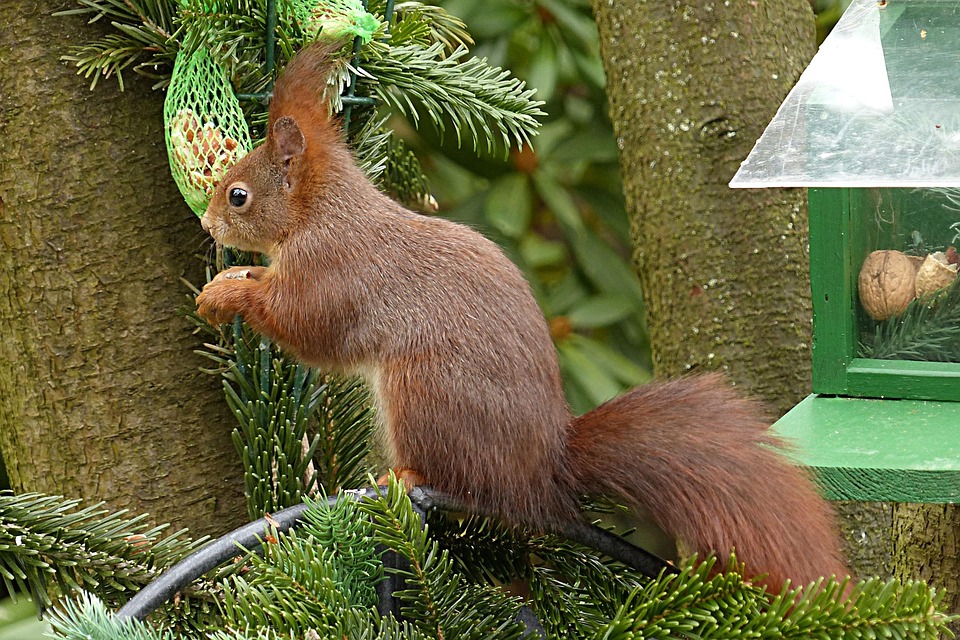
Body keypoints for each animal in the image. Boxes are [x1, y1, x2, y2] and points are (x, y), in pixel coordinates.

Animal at [196, 43, 848, 591]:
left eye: (238, 195)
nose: (207, 223)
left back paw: (402, 479)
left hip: (424, 392)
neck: (318, 211)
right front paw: (228, 282)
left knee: (453, 477)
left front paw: (228, 296)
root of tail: (542, 471)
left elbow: (305, 328)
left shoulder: (333, 272)